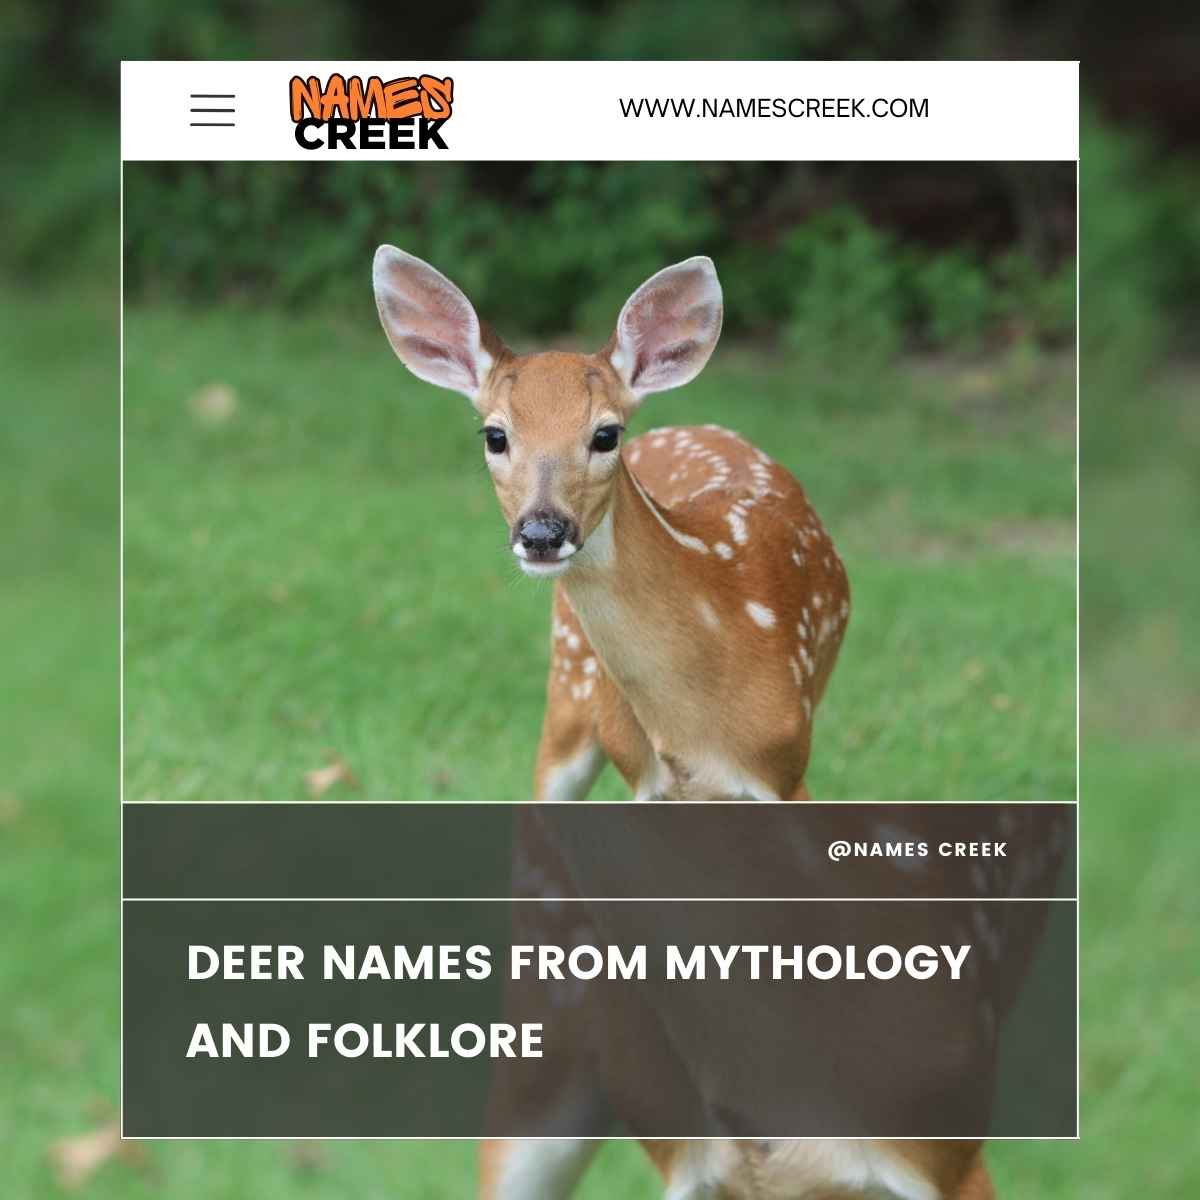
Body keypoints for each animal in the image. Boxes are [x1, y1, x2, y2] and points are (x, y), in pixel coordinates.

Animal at [372, 248, 996, 1199]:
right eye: (493, 434)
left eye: (602, 434)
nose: (543, 531)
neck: (702, 712)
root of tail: (692, 424)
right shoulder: (652, 783)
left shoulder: (782, 770)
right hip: (567, 699)